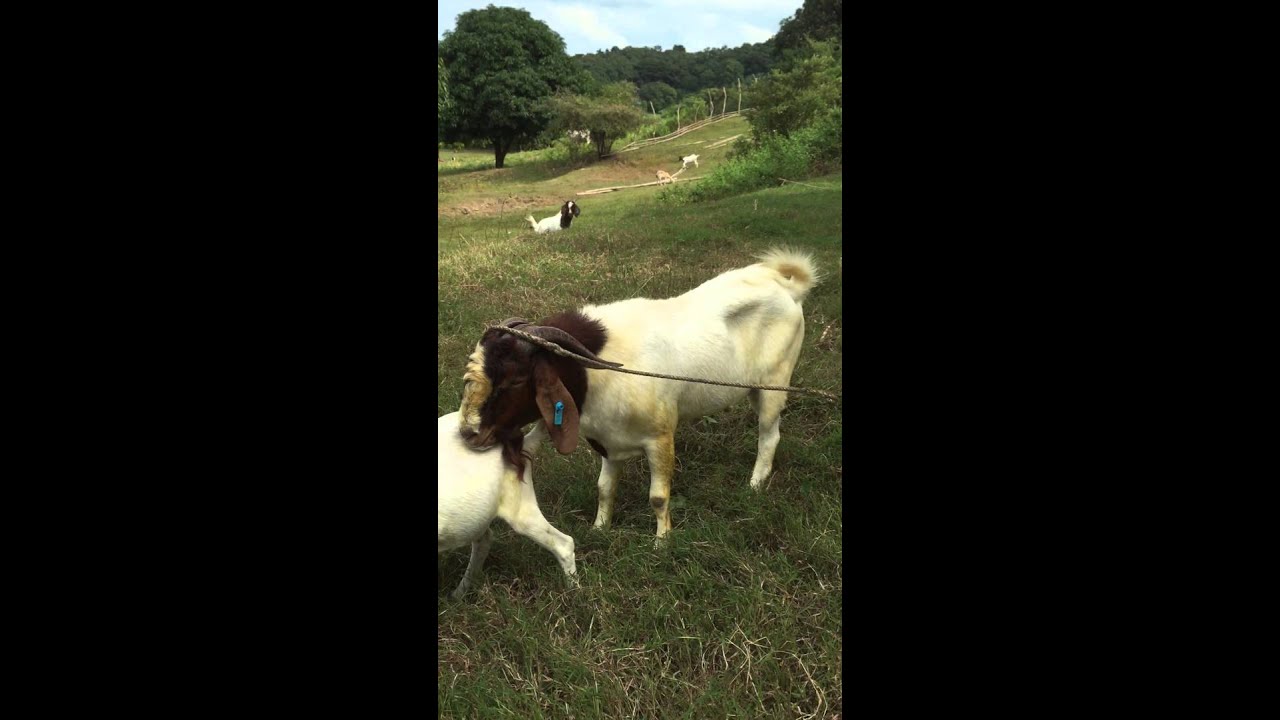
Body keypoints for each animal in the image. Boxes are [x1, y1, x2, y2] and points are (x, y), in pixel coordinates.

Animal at [438, 412, 577, 598]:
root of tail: (523, 445)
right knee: (484, 540)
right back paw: (458, 595)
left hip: (520, 506)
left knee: (563, 543)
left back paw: (574, 593)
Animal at [456, 248, 819, 541]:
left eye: (515, 380)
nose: (468, 433)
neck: (599, 365)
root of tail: (787, 286)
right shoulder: (606, 440)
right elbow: (604, 488)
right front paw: (600, 528)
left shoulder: (660, 437)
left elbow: (658, 496)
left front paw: (662, 542)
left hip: (775, 382)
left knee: (769, 436)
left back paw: (754, 485)